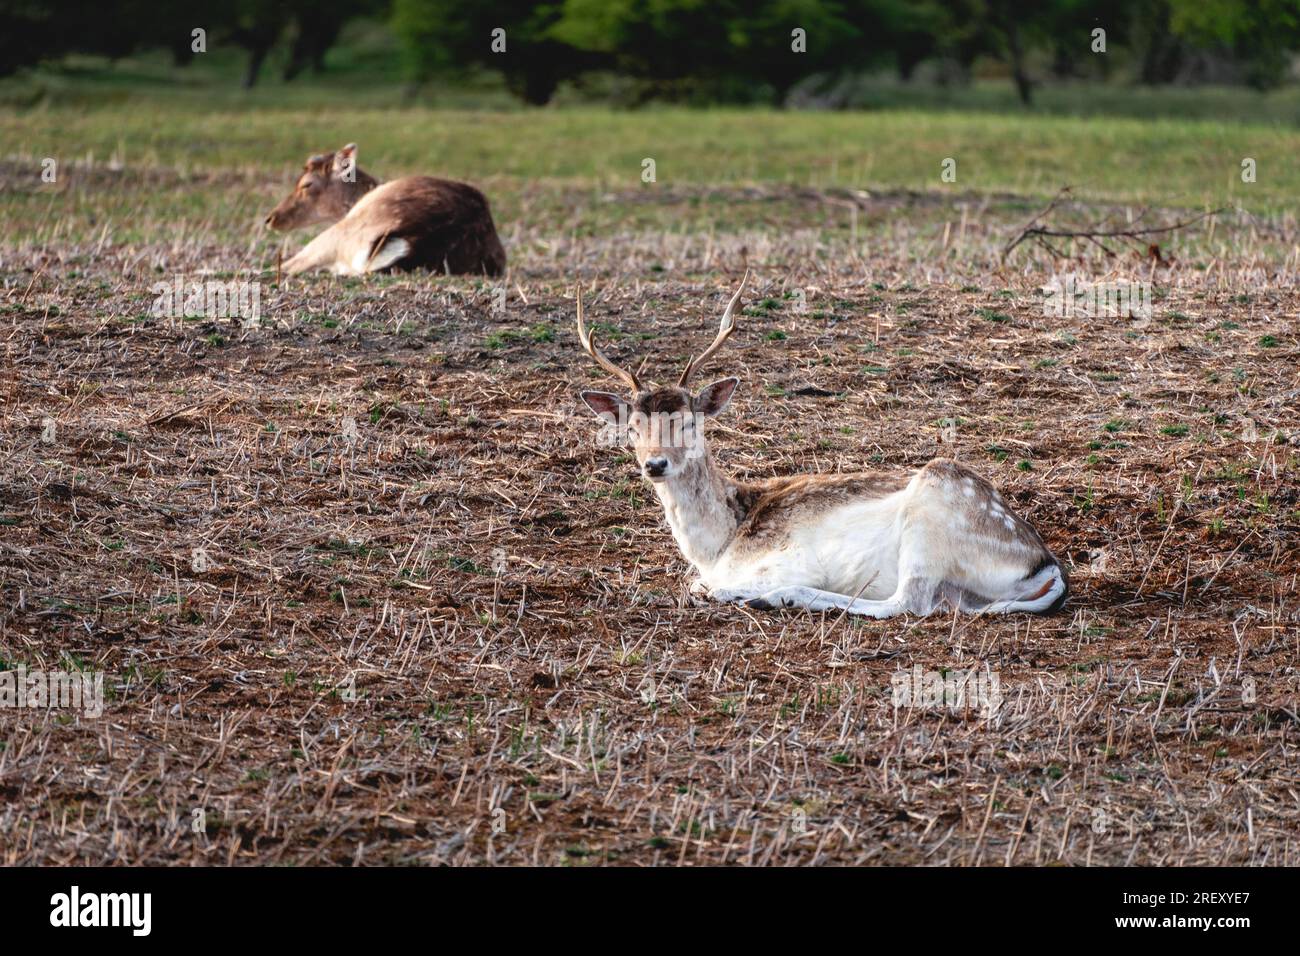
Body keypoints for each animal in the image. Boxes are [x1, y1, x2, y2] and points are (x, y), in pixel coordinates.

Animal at [576, 271, 1069, 619]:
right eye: (633, 427)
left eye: (687, 422)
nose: (655, 464)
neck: (719, 546)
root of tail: (1045, 565)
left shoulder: (790, 559)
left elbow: (699, 586)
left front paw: (737, 591)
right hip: (959, 582)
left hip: (932, 516)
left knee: (908, 603)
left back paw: (775, 597)